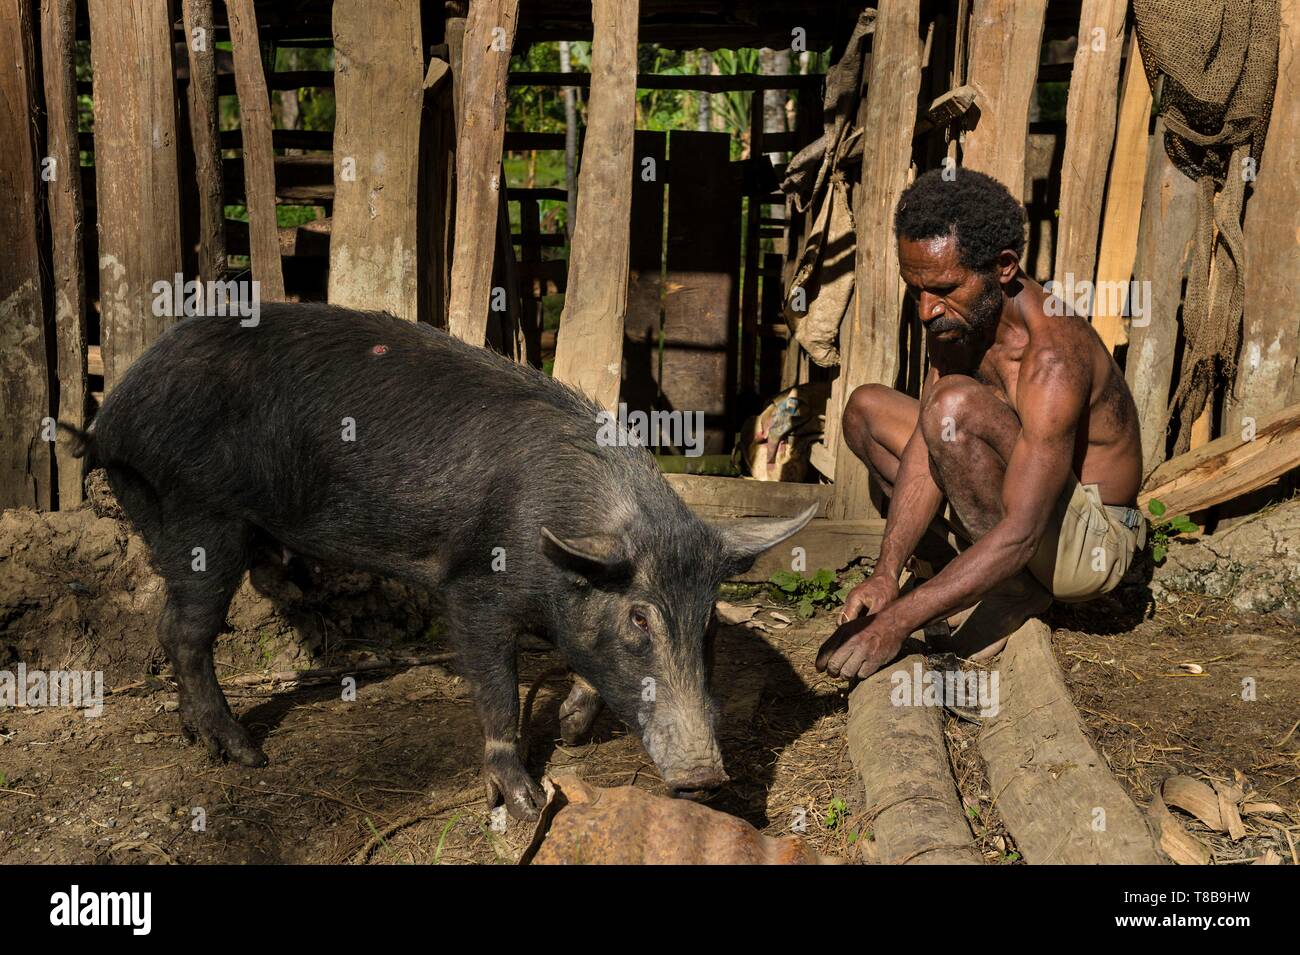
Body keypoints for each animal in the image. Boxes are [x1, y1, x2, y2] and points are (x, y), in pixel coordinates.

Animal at [68, 303, 813, 819]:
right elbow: (497, 688)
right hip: (201, 514)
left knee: (173, 627)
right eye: (638, 619)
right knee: (184, 631)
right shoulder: (471, 588)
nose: (706, 776)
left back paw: (197, 737)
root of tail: (113, 412)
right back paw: (247, 754)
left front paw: (571, 733)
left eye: (708, 621)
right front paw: (528, 805)